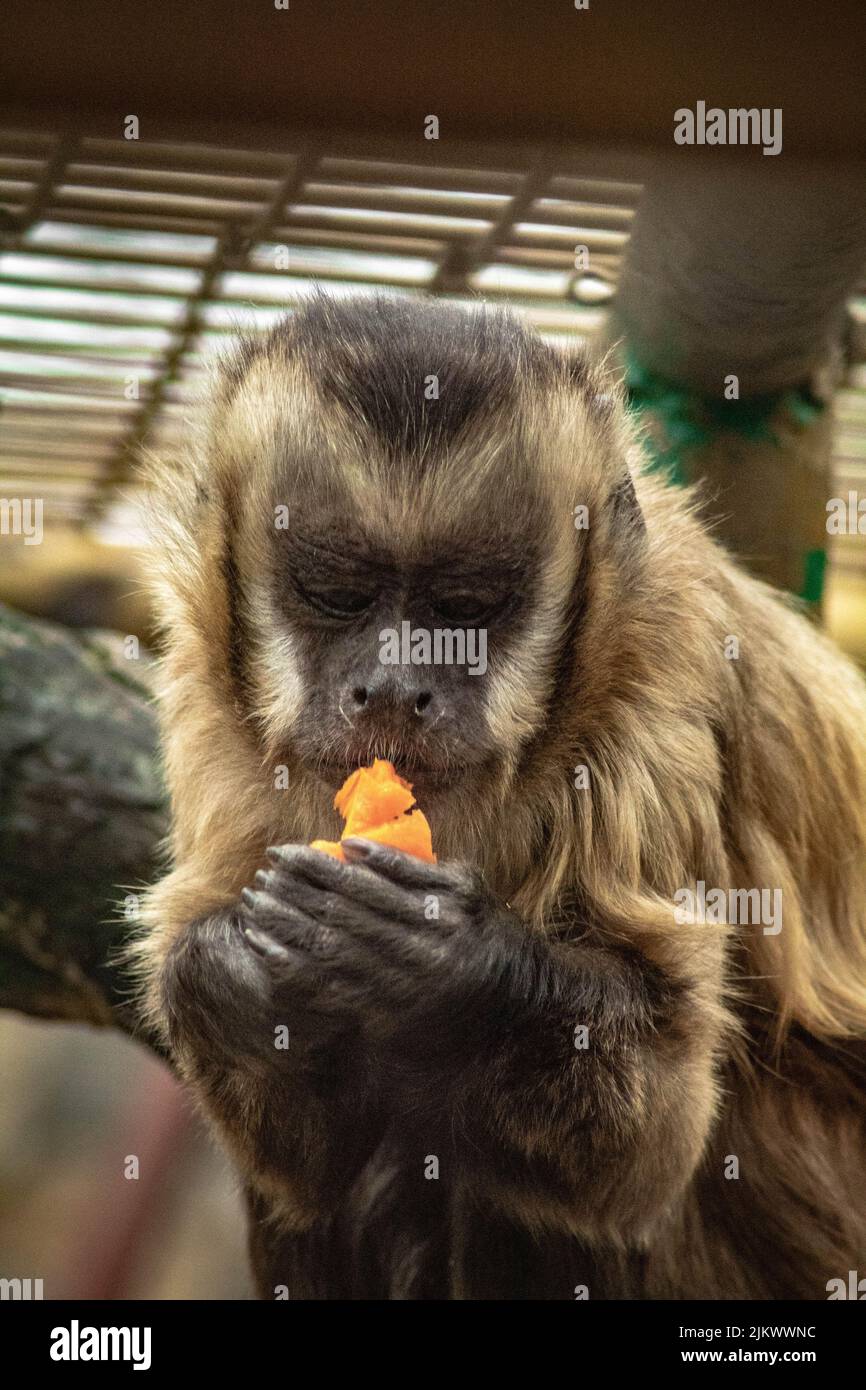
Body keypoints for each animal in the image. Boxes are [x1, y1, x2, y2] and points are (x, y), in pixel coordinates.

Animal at [133, 292, 866, 1300]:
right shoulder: (205, 698)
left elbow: (654, 1139)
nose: (394, 689)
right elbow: (308, 1160)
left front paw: (450, 962)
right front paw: (232, 970)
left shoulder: (666, 680)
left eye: (466, 608)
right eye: (338, 594)